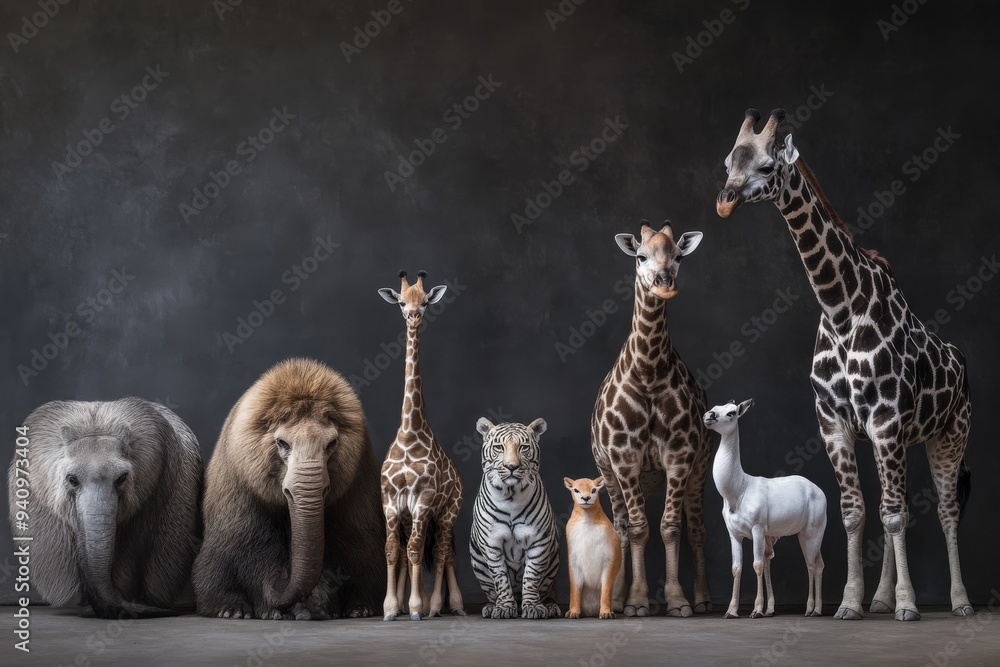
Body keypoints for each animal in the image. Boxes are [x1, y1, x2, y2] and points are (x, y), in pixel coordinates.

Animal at [377, 270, 466, 621]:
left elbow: (416, 550)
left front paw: (417, 608)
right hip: (419, 515)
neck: (409, 433)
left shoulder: (424, 500)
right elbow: (394, 551)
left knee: (443, 553)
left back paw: (445, 605)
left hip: (448, 513)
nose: (414, 316)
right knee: (423, 551)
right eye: (402, 302)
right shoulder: (391, 501)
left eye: (425, 301)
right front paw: (391, 608)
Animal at [469, 417, 560, 619]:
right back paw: (490, 607)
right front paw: (503, 608)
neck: (510, 495)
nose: (512, 467)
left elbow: (531, 577)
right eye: (499, 447)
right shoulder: (491, 545)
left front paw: (533, 607)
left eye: (523, 447)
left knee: (548, 590)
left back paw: (550, 607)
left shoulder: (538, 542)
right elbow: (501, 579)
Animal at [591, 222, 712, 617]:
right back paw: (615, 598)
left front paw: (677, 600)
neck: (648, 370)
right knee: (622, 526)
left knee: (697, 528)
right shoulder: (623, 458)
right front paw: (636, 601)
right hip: (607, 472)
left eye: (678, 255)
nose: (663, 282)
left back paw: (703, 599)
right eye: (641, 255)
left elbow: (671, 527)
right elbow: (638, 528)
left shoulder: (680, 456)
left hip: (700, 469)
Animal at [716, 109, 974, 621]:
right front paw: (853, 602)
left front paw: (908, 606)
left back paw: (958, 601)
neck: (840, 308)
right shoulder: (836, 423)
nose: (725, 201)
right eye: (729, 162)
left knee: (946, 509)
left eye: (768, 167)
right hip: (903, 439)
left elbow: (893, 514)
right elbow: (856, 512)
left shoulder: (886, 421)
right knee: (898, 503)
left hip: (949, 435)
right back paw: (880, 598)